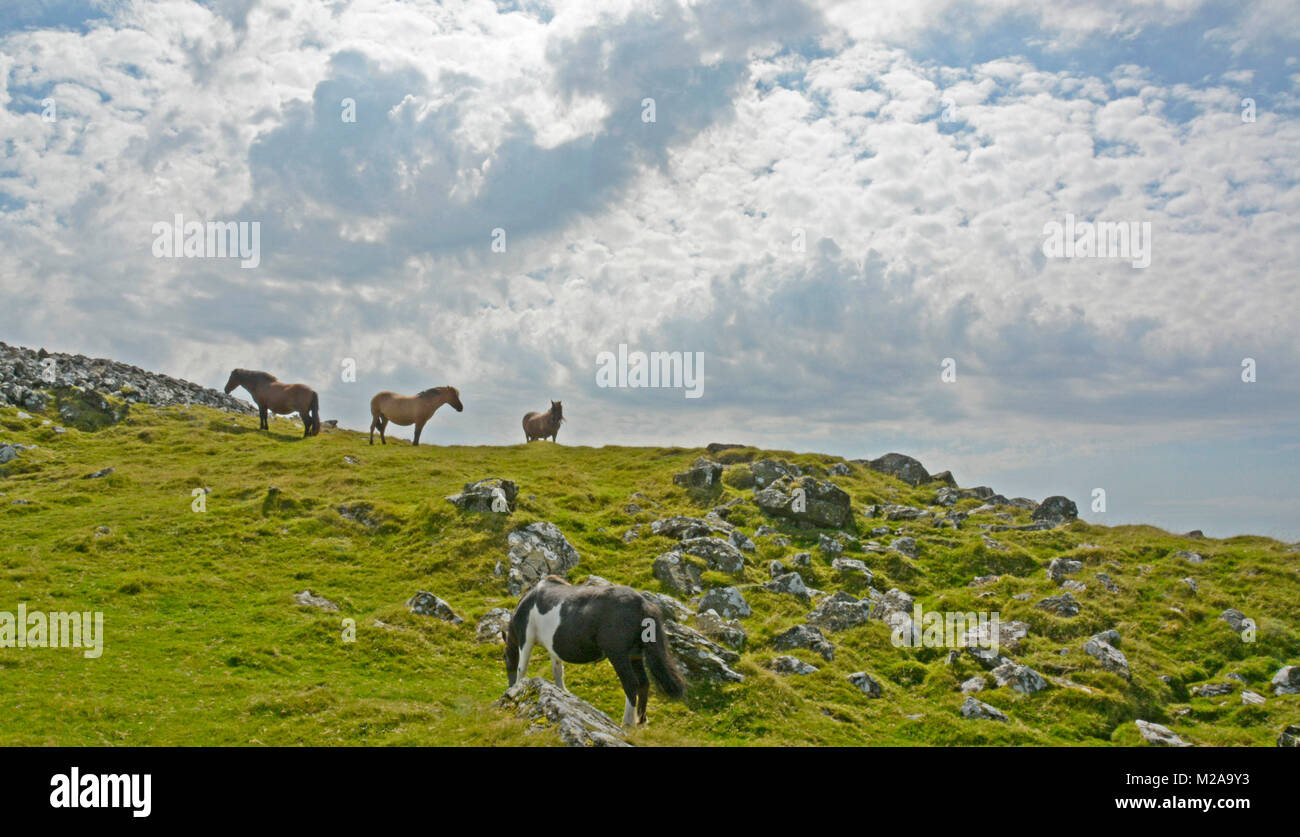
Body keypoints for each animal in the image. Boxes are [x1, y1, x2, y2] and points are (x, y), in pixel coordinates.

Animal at [504, 575, 686, 727]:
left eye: (504, 658)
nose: (509, 688)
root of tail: (642, 604)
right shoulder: (552, 650)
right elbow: (558, 671)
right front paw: (563, 692)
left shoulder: (526, 639)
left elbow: (522, 669)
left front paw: (518, 688)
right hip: (635, 656)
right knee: (643, 684)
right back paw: (641, 721)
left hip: (618, 656)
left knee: (631, 684)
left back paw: (627, 723)